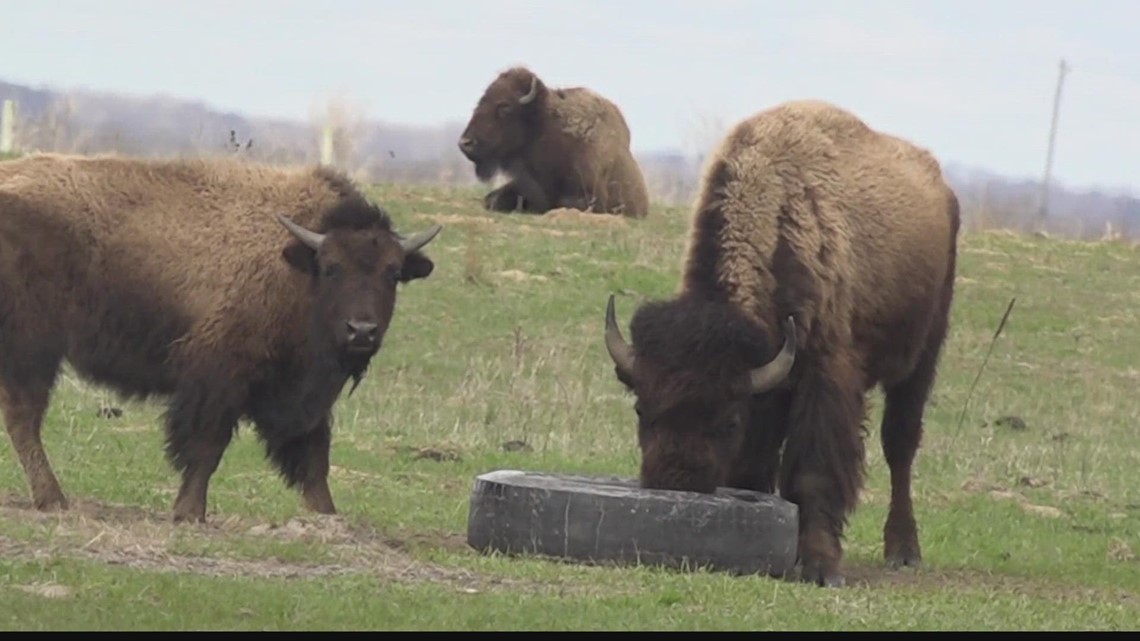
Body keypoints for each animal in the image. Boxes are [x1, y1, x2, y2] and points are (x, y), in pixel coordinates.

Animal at [0, 153, 441, 523]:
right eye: (332, 267)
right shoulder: (218, 381)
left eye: (393, 272)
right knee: (24, 420)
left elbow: (313, 460)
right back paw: (54, 499)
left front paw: (328, 517)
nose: (361, 330)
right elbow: (207, 449)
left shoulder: (305, 398)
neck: (296, 264)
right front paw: (190, 513)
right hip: (34, 350)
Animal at [603, 100, 960, 587]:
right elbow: (757, 465)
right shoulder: (769, 386)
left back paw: (903, 551)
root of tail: (940, 185)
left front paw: (821, 566)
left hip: (922, 355)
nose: (677, 485)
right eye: (642, 410)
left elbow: (812, 471)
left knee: (900, 444)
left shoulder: (824, 376)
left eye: (729, 422)